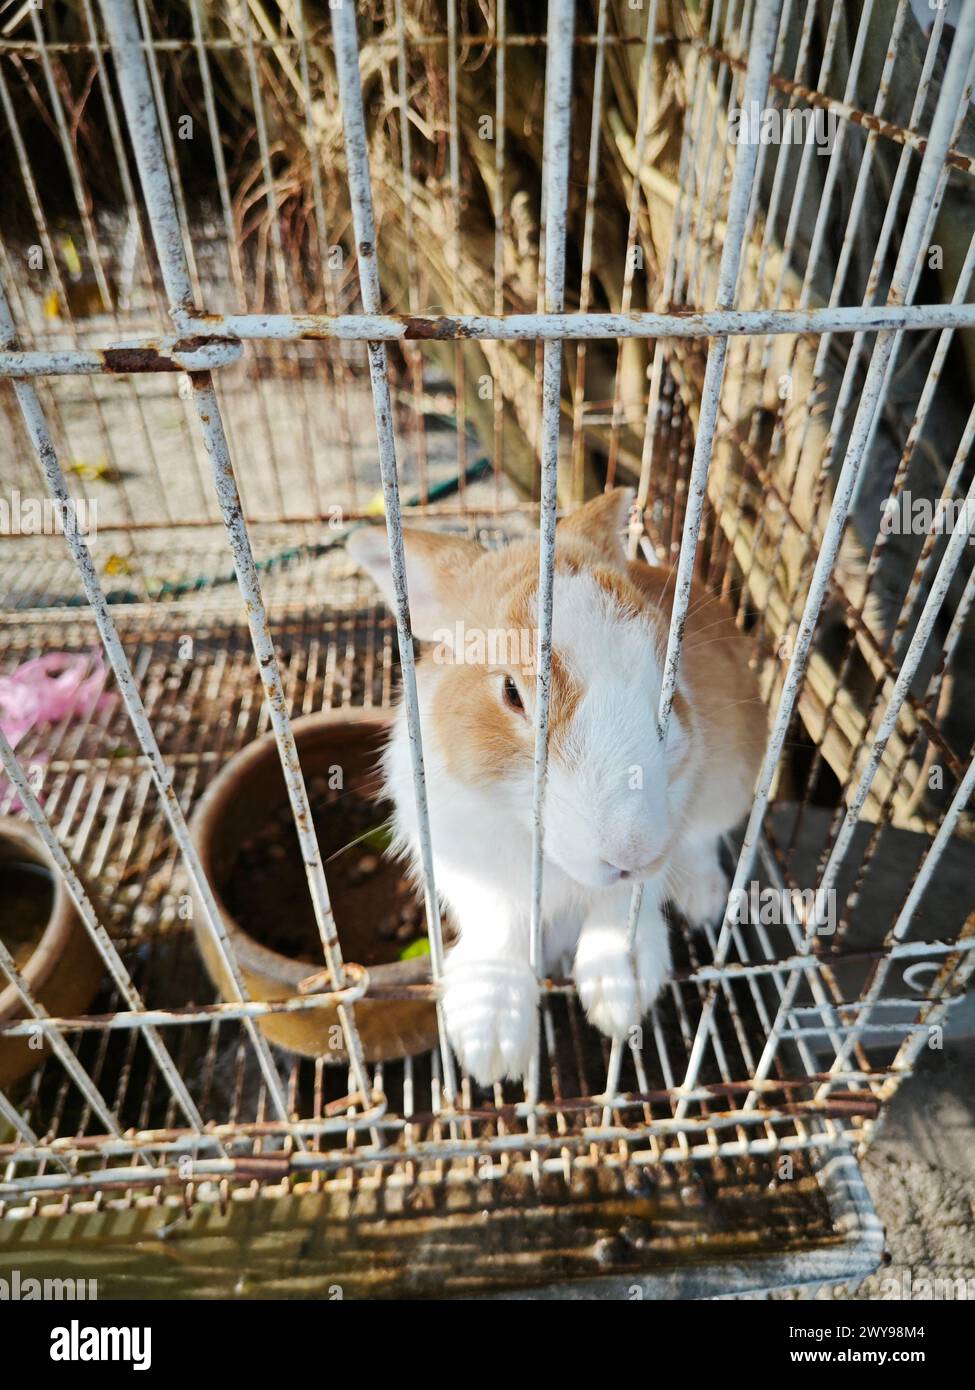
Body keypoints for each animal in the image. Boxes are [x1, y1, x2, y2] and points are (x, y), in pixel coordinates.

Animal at [347, 487, 765, 1086]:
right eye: (511, 693)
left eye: (667, 682)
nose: (631, 853)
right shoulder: (461, 859)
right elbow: (496, 924)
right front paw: (491, 1036)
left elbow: (627, 898)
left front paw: (618, 988)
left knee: (704, 840)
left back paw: (705, 898)